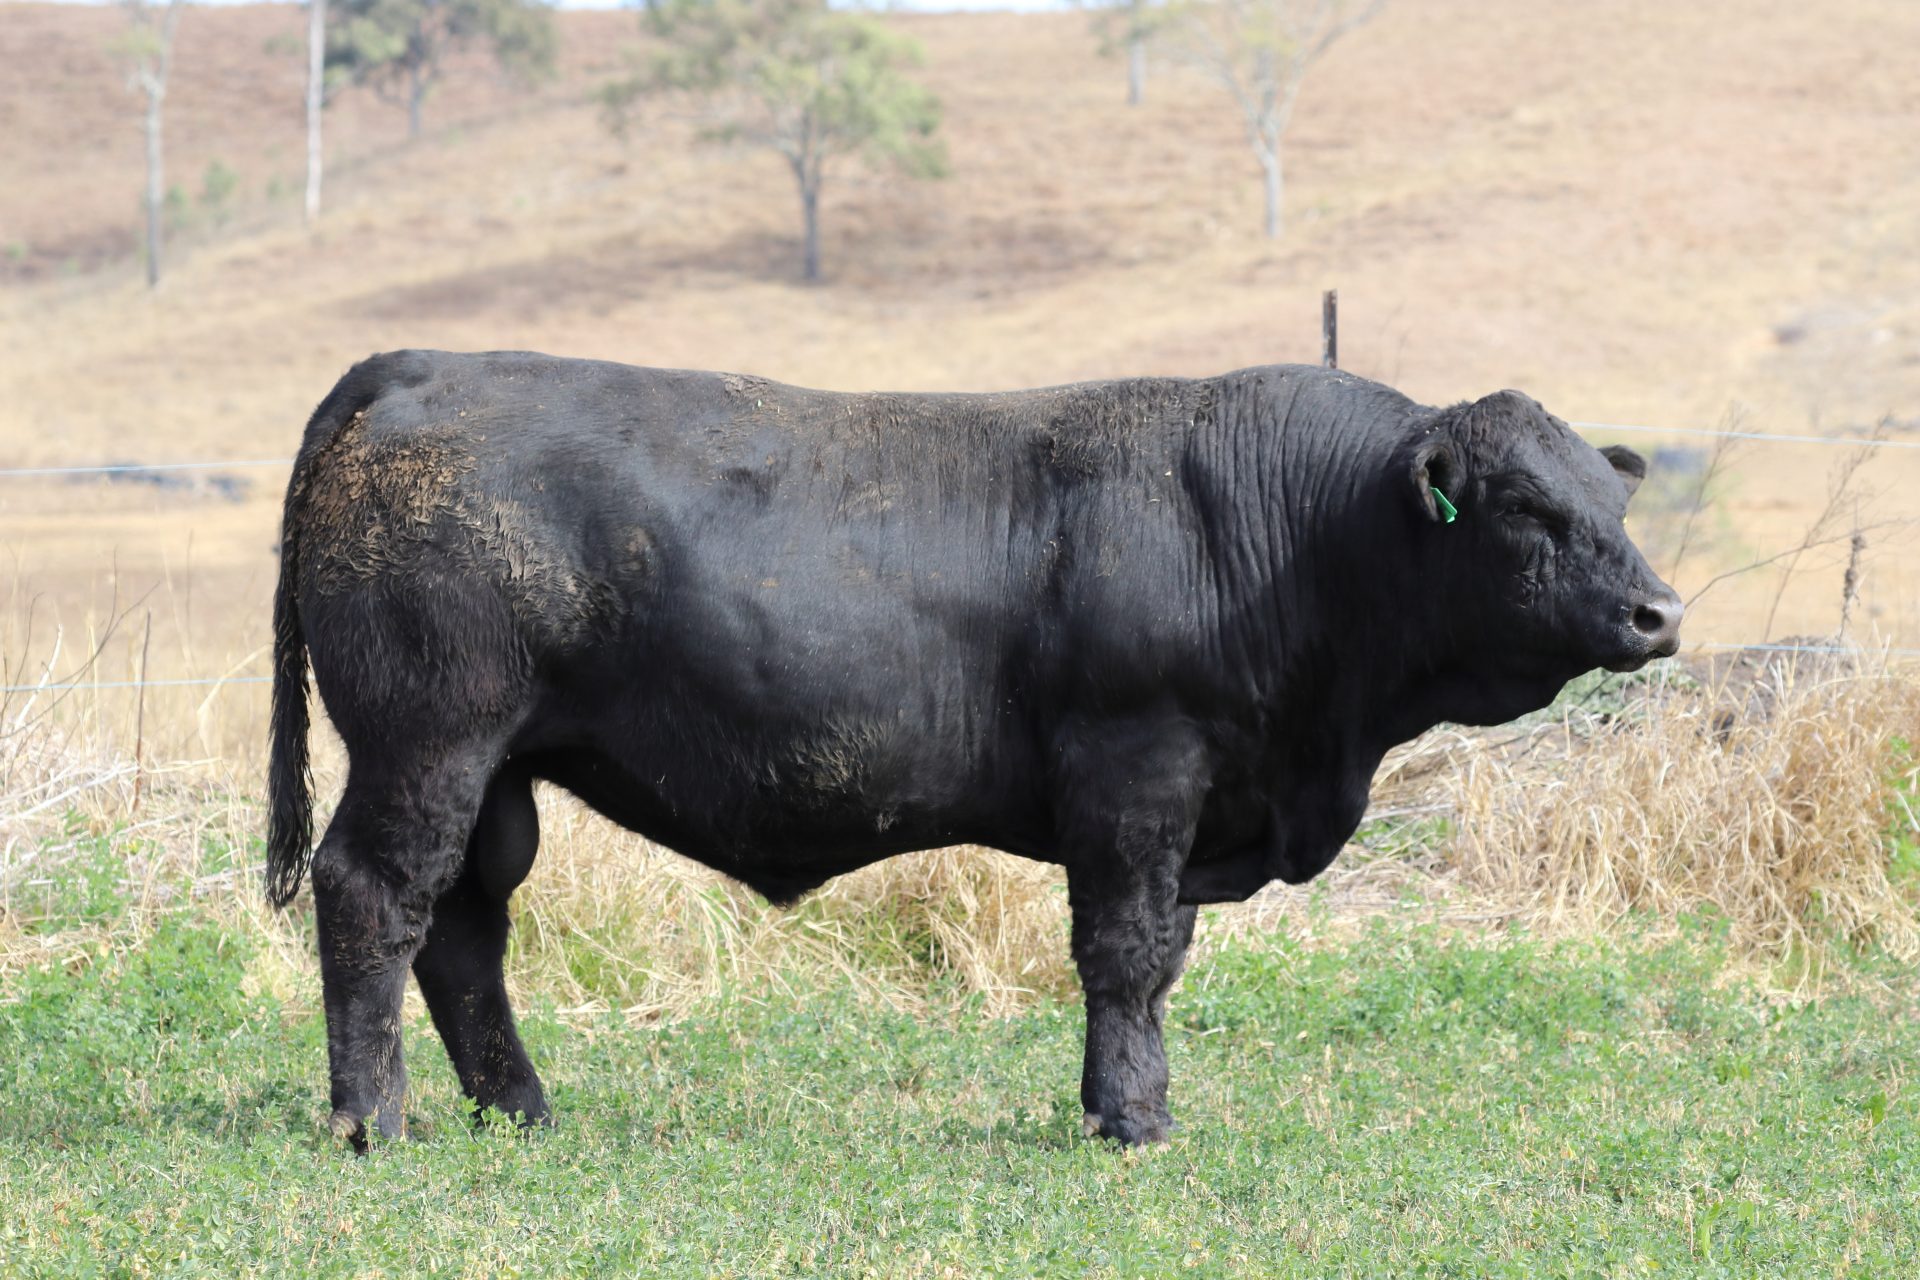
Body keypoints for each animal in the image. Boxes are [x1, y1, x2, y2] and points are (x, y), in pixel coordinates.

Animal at [267, 351, 1681, 1149]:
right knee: (374, 895)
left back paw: (521, 1109)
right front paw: (1135, 1118)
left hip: (494, 771)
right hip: (429, 739)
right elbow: (1122, 953)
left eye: (1612, 499)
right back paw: (373, 1119)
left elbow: (1160, 957)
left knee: (463, 927)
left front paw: (1128, 1098)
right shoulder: (1136, 774)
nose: (1660, 612)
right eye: (1525, 507)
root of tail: (423, 365)